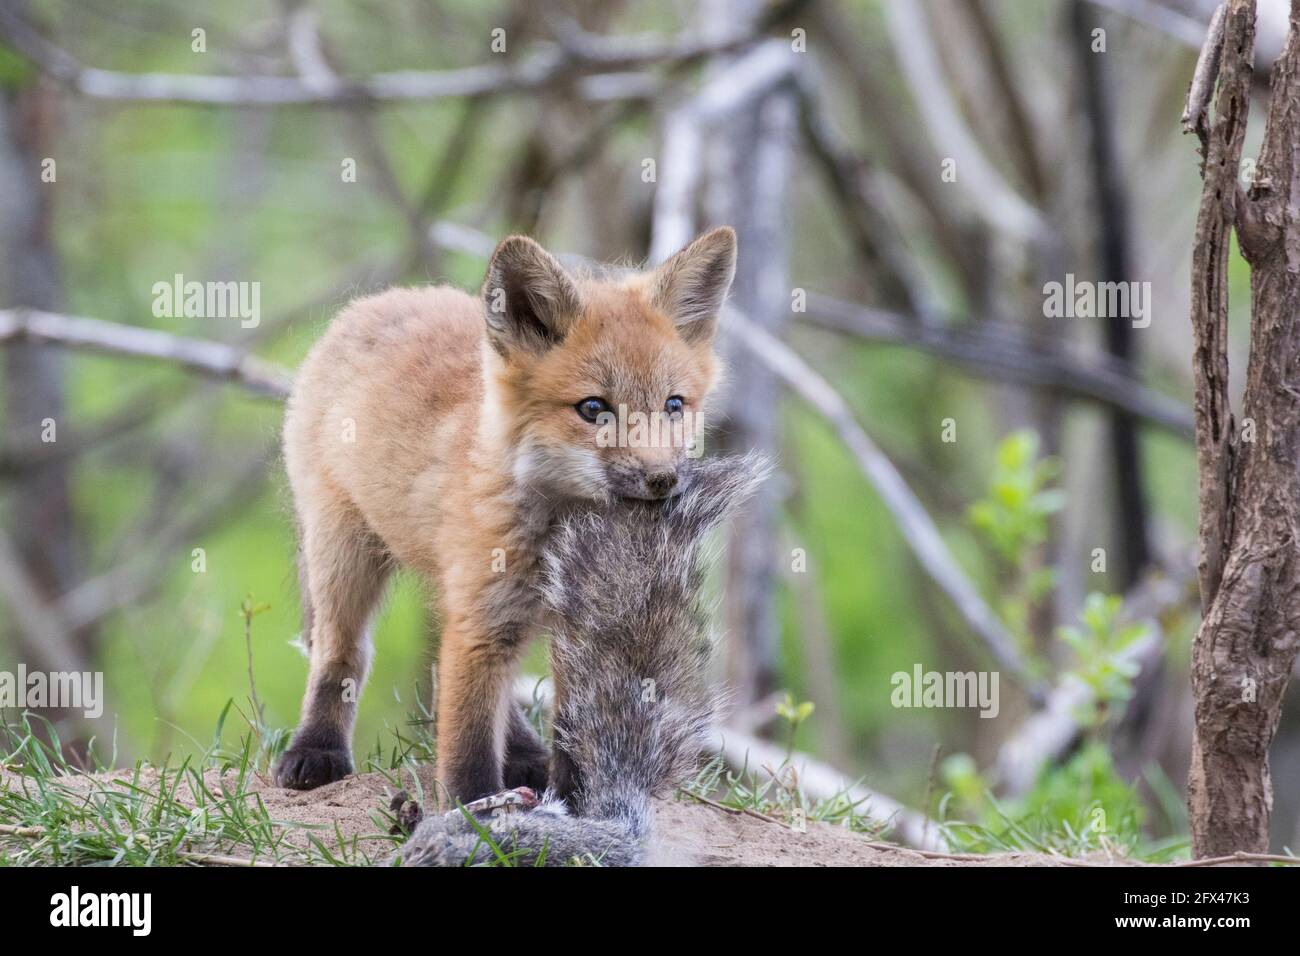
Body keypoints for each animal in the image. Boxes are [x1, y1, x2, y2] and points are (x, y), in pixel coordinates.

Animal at [274, 226, 738, 807]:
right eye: (593, 409)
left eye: (674, 406)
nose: (662, 480)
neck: (556, 538)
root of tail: (380, 300)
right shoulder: (483, 616)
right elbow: (468, 743)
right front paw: (474, 810)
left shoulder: (576, 627)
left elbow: (567, 726)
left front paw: (578, 803)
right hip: (343, 554)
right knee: (342, 654)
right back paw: (316, 749)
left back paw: (525, 757)